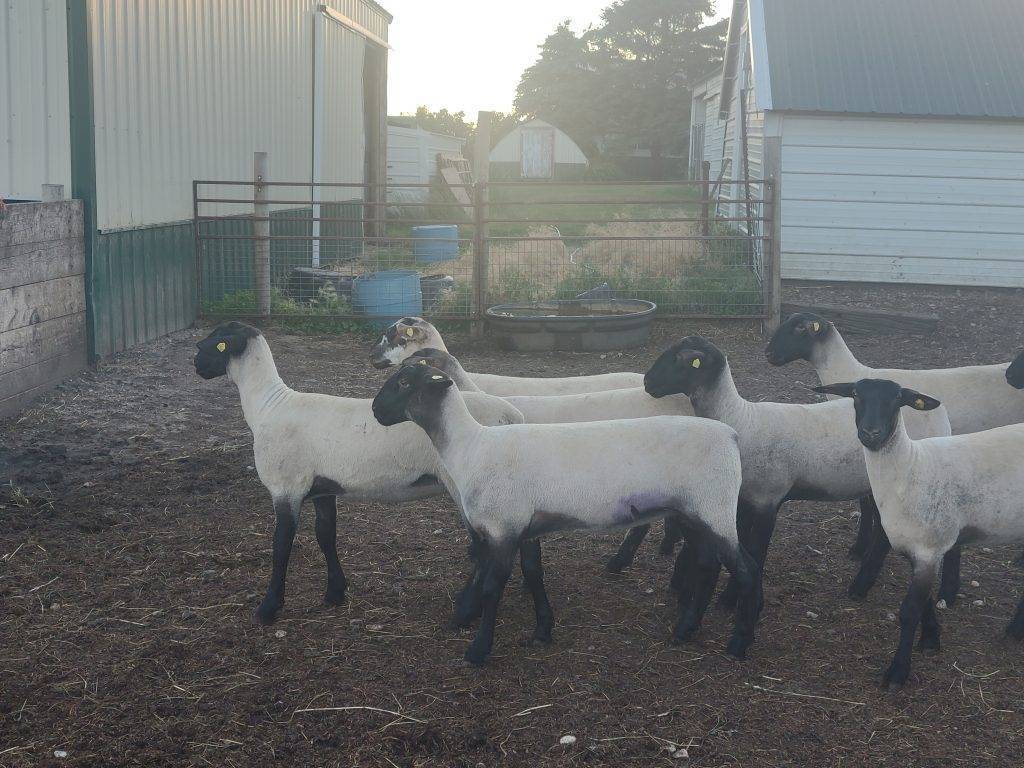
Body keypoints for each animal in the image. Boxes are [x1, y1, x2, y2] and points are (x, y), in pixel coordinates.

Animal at [193, 321, 524, 626]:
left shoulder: (286, 488)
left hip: (467, 488)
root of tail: (512, 416)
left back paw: (466, 611)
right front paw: (335, 592)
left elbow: (281, 546)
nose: (195, 364)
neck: (269, 406)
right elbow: (326, 535)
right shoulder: (323, 489)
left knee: (482, 549)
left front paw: (268, 607)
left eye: (215, 342)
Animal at [643, 336, 955, 605]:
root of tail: (939, 413)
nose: (647, 382)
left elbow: (756, 551)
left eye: (682, 360)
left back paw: (874, 588)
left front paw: (730, 601)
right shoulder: (745, 498)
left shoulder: (768, 500)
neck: (741, 420)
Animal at [814, 379, 1024, 687]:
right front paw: (931, 639)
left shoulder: (928, 550)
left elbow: (910, 610)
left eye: (897, 397)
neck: (910, 468)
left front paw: (897, 672)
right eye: (855, 394)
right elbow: (924, 602)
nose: (871, 433)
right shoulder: (918, 551)